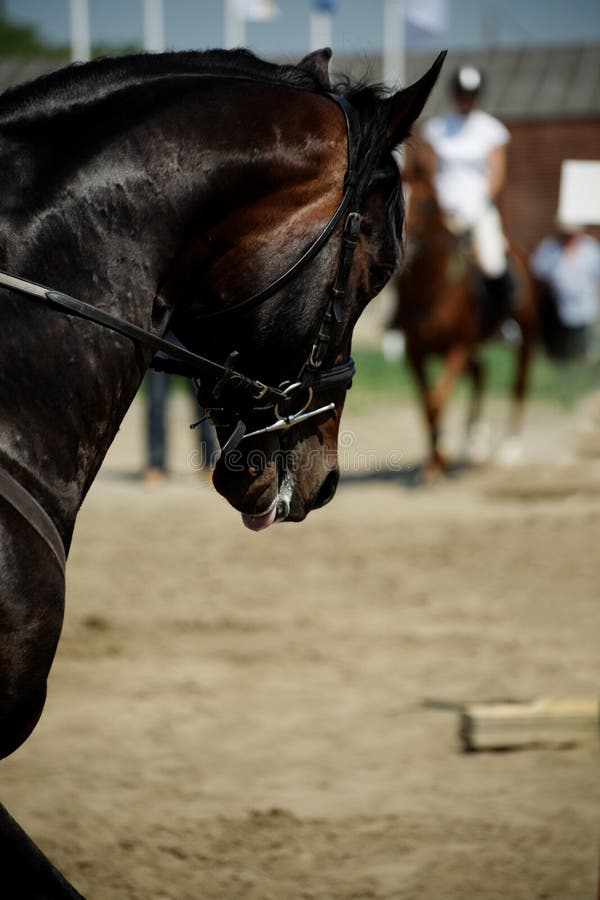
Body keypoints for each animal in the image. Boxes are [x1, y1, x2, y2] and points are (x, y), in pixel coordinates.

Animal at [388, 174, 539, 476]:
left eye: (424, 204)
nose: (401, 246)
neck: (429, 290)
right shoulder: (415, 354)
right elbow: (427, 404)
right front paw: (435, 462)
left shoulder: (458, 346)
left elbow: (436, 400)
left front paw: (444, 453)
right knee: (481, 372)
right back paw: (475, 444)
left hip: (524, 341)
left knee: (518, 384)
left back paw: (509, 448)